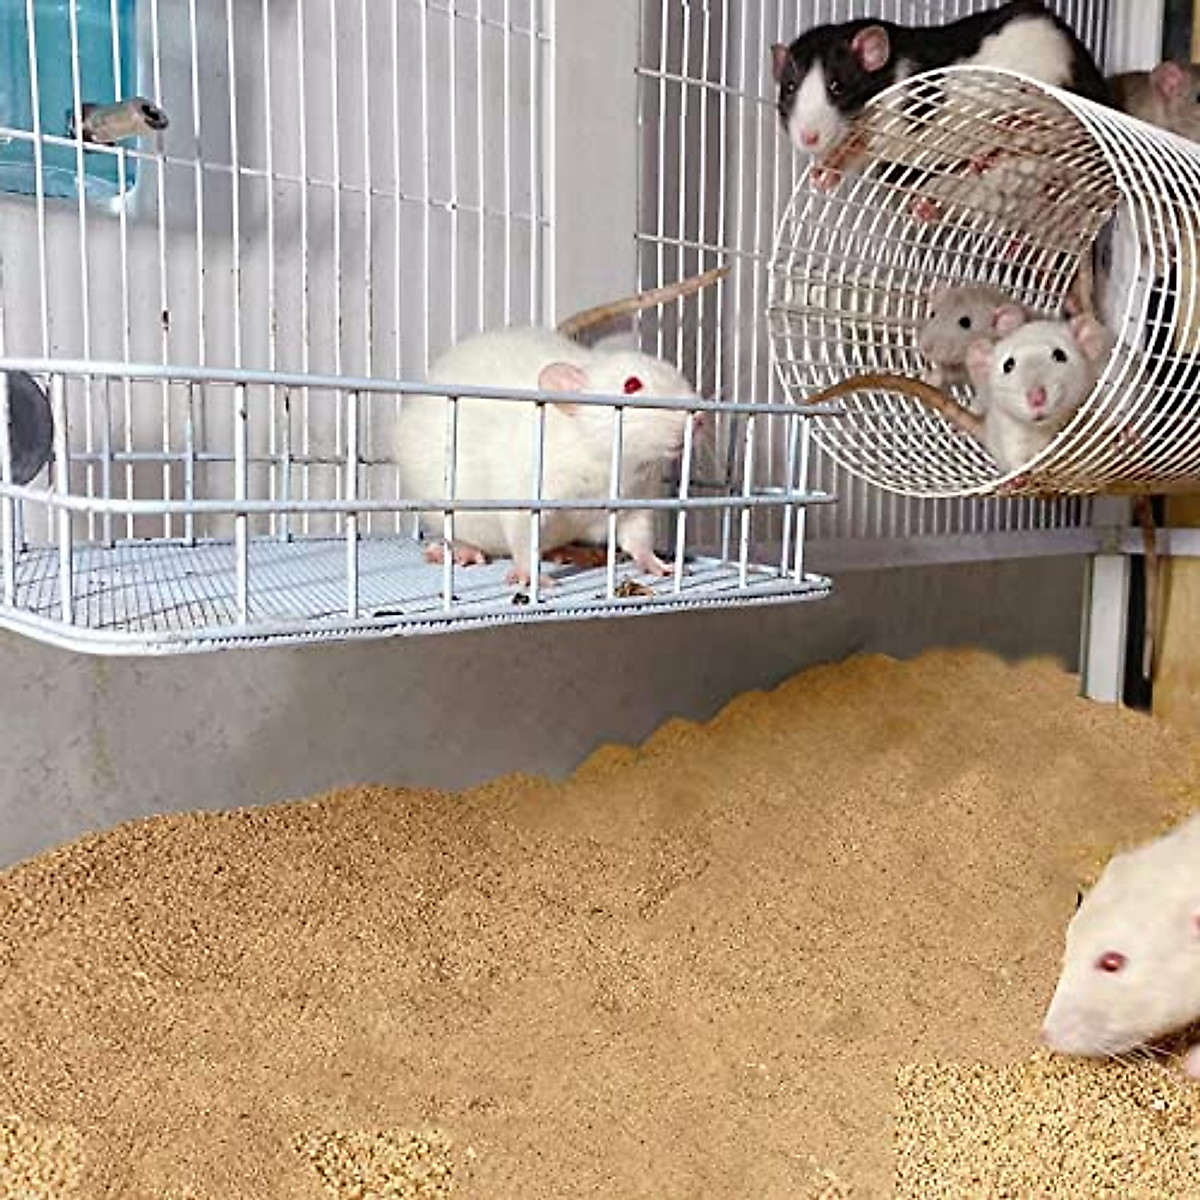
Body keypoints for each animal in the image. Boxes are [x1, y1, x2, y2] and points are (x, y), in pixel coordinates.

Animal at [395, 328, 698, 587]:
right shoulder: (532, 485)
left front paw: (657, 563)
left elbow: (638, 535)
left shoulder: (636, 495)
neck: (607, 464)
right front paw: (530, 575)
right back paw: (460, 549)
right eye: (632, 384)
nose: (699, 417)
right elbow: (523, 532)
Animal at [965, 313, 1113, 472]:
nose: (1036, 397)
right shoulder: (1009, 431)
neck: (1042, 429)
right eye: (1008, 365)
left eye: (1060, 355)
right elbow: (1015, 459)